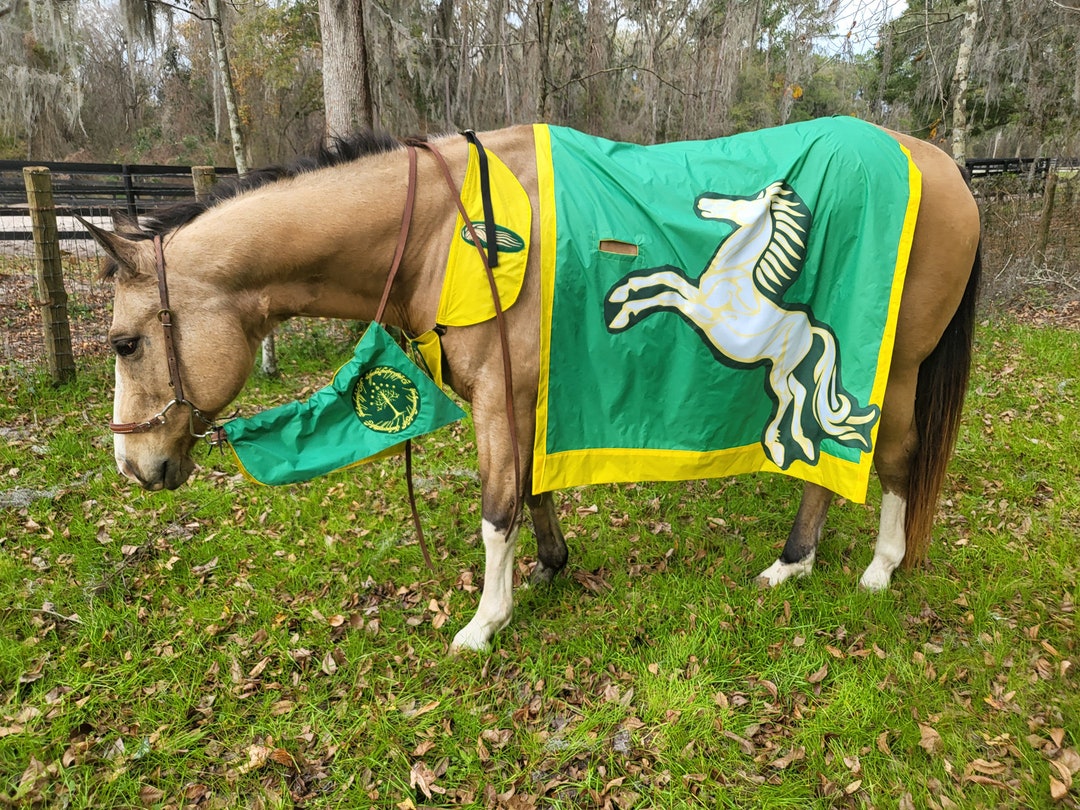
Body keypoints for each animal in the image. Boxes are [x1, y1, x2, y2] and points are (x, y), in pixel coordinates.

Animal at [85, 121, 982, 652]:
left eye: (125, 343)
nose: (136, 469)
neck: (451, 231)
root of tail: (943, 166)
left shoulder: (498, 396)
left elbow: (497, 505)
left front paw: (486, 621)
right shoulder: (524, 396)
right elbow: (533, 489)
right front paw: (548, 568)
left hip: (898, 368)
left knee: (891, 457)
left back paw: (878, 569)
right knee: (821, 451)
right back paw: (794, 563)